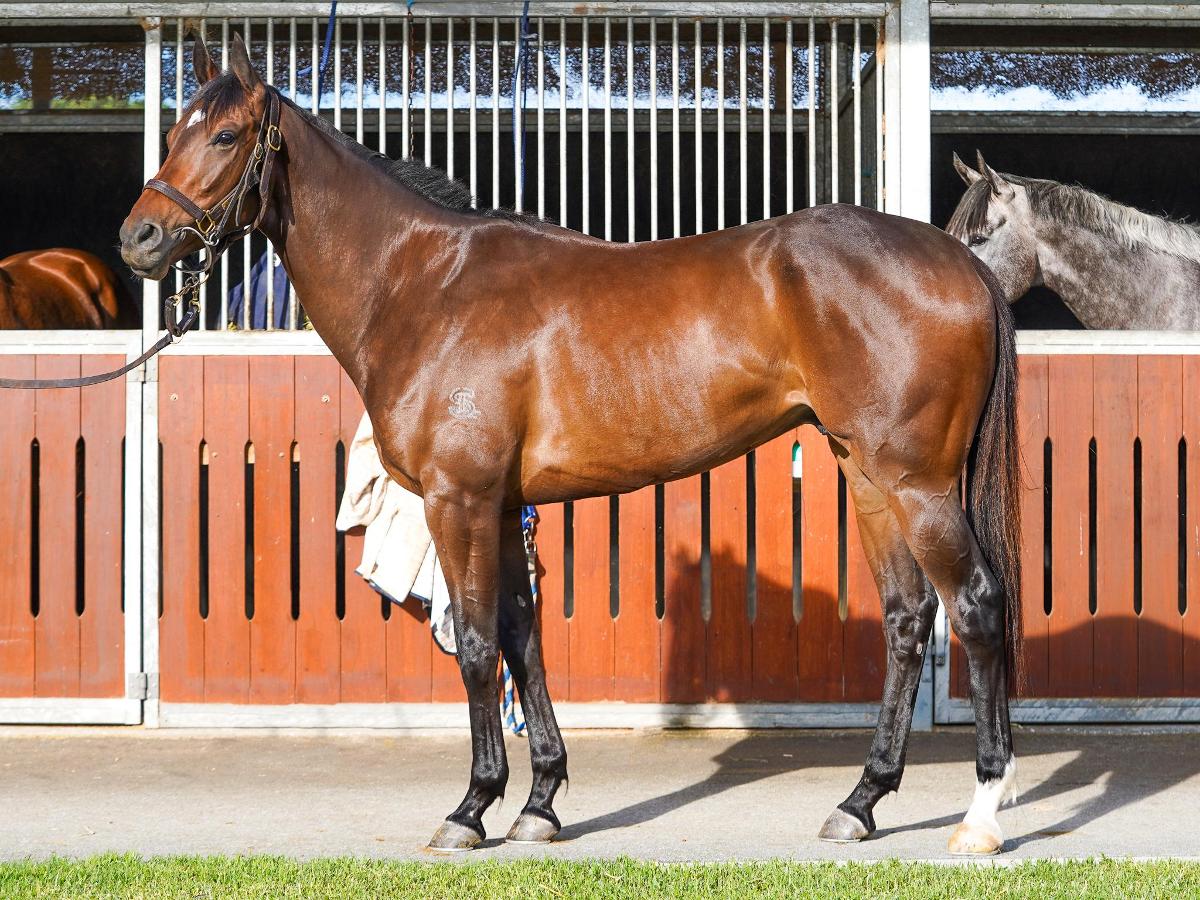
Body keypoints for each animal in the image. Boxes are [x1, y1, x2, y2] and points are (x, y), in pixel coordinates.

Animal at [120, 34, 1022, 856]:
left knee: (976, 605)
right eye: (173, 133)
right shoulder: (503, 505)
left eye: (225, 136)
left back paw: (980, 815)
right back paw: (860, 802)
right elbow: (524, 639)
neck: (424, 285)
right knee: (907, 618)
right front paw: (540, 803)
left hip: (918, 486)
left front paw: (470, 810)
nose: (140, 238)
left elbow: (478, 645)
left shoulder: (460, 499)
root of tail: (960, 263)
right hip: (866, 476)